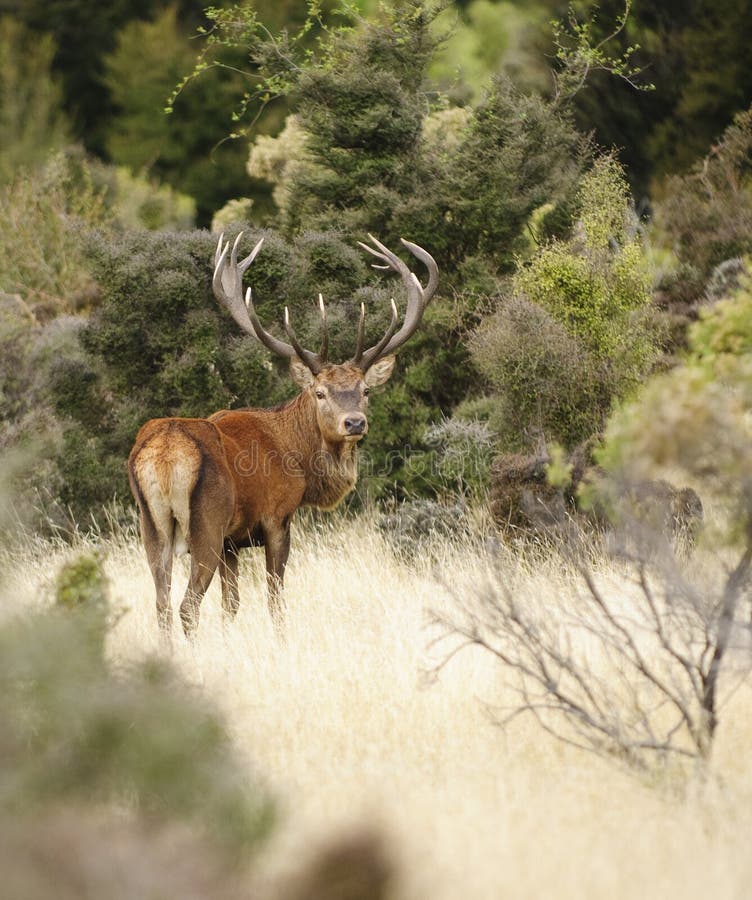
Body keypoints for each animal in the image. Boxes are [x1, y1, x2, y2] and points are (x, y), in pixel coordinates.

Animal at [128, 233, 438, 637]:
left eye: (365, 390)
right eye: (320, 393)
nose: (354, 423)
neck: (297, 456)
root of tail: (163, 453)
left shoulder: (232, 541)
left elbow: (231, 605)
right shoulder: (276, 517)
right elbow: (276, 601)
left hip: (151, 527)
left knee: (162, 605)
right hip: (206, 524)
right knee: (187, 606)